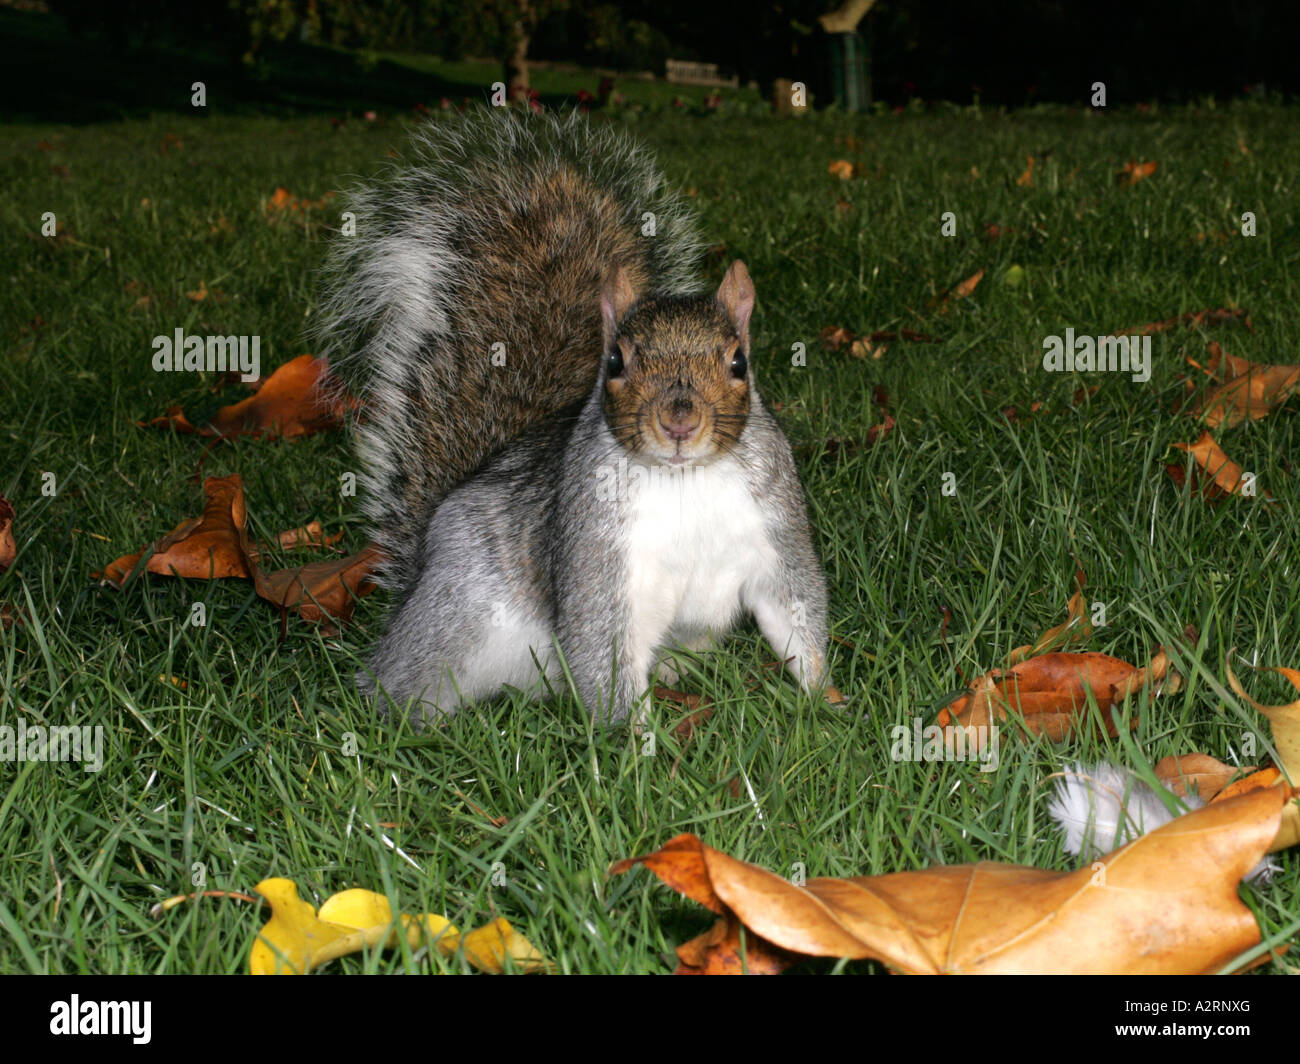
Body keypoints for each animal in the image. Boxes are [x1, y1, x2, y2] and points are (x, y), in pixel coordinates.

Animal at [316, 107, 833, 726]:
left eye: (739, 362)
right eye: (615, 361)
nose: (679, 424)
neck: (686, 479)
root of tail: (419, 569)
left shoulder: (777, 535)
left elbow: (796, 613)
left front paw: (828, 704)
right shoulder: (597, 557)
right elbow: (601, 649)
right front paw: (636, 742)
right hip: (457, 615)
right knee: (405, 681)